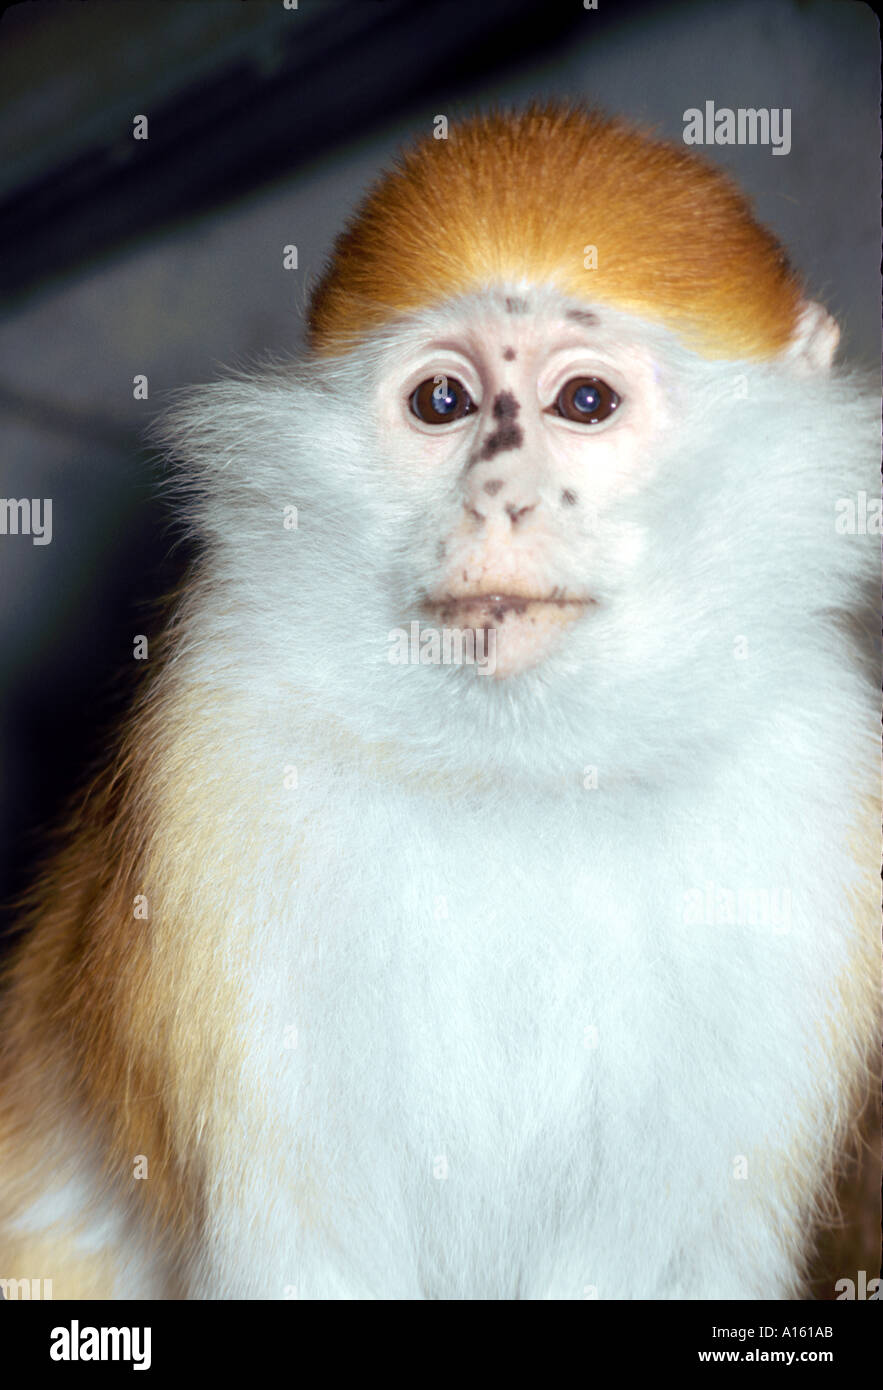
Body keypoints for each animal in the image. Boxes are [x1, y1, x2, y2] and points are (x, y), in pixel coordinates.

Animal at [0, 103, 879, 1300]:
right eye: (443, 403)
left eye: (584, 402)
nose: (495, 498)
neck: (525, 767)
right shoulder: (217, 757)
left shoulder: (815, 778)